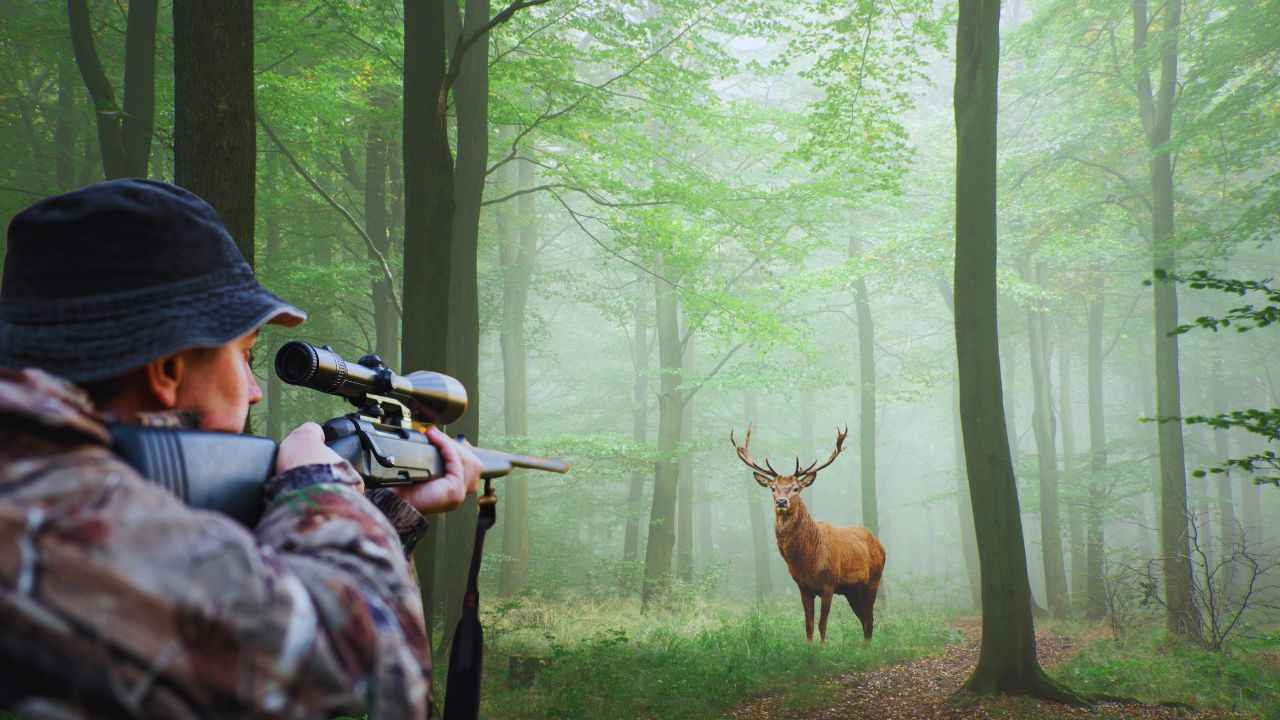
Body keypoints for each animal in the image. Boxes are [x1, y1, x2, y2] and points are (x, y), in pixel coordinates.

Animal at [731, 425, 885, 643]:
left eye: (796, 488)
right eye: (773, 488)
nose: (781, 501)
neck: (807, 560)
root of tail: (880, 544)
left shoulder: (829, 584)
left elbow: (822, 625)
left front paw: (822, 649)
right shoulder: (803, 587)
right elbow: (809, 625)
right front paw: (809, 647)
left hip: (873, 580)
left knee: (870, 620)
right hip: (851, 590)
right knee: (864, 620)